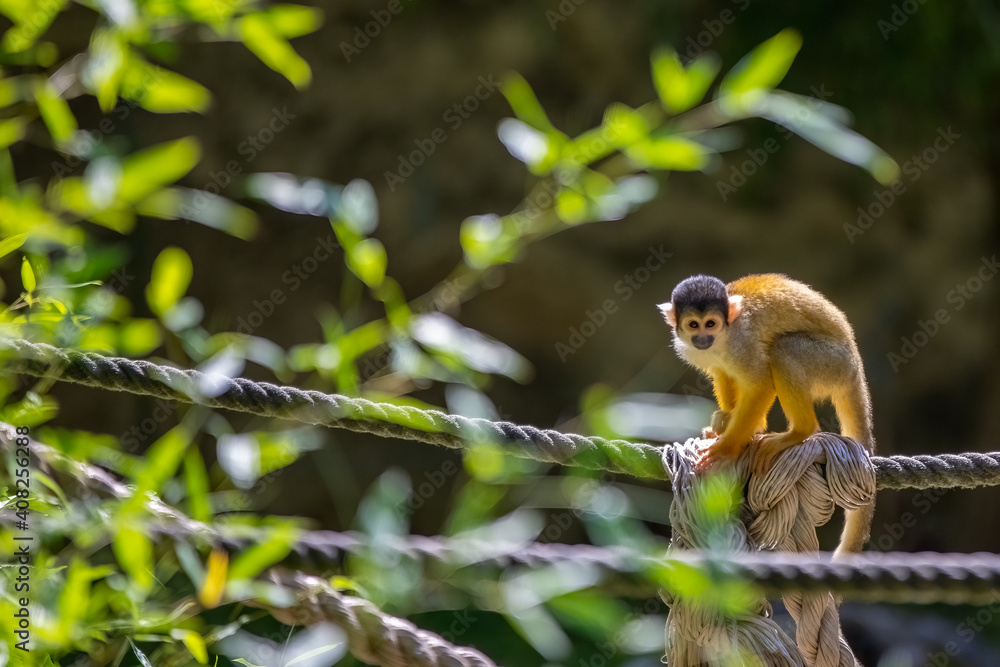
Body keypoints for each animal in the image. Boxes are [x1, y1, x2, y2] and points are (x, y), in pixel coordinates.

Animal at [659, 274, 875, 555]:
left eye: (711, 324)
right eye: (693, 325)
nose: (703, 338)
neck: (724, 337)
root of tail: (855, 367)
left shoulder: (742, 343)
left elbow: (760, 384)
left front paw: (725, 449)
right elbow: (722, 371)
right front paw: (729, 422)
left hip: (831, 364)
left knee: (785, 348)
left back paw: (799, 432)